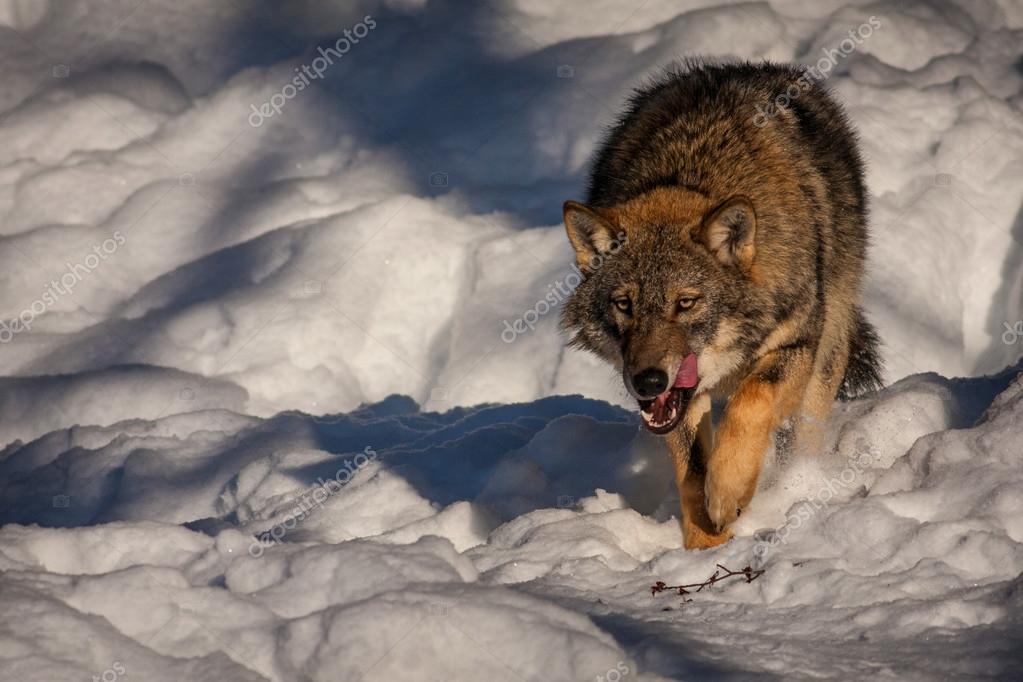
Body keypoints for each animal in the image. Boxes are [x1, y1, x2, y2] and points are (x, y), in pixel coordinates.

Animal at [560, 61, 882, 549]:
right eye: (624, 304)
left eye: (685, 303)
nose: (647, 381)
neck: (694, 169)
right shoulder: (678, 403)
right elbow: (692, 471)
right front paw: (704, 548)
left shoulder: (795, 344)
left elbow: (751, 402)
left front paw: (729, 493)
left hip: (826, 350)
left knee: (801, 431)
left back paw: (799, 485)